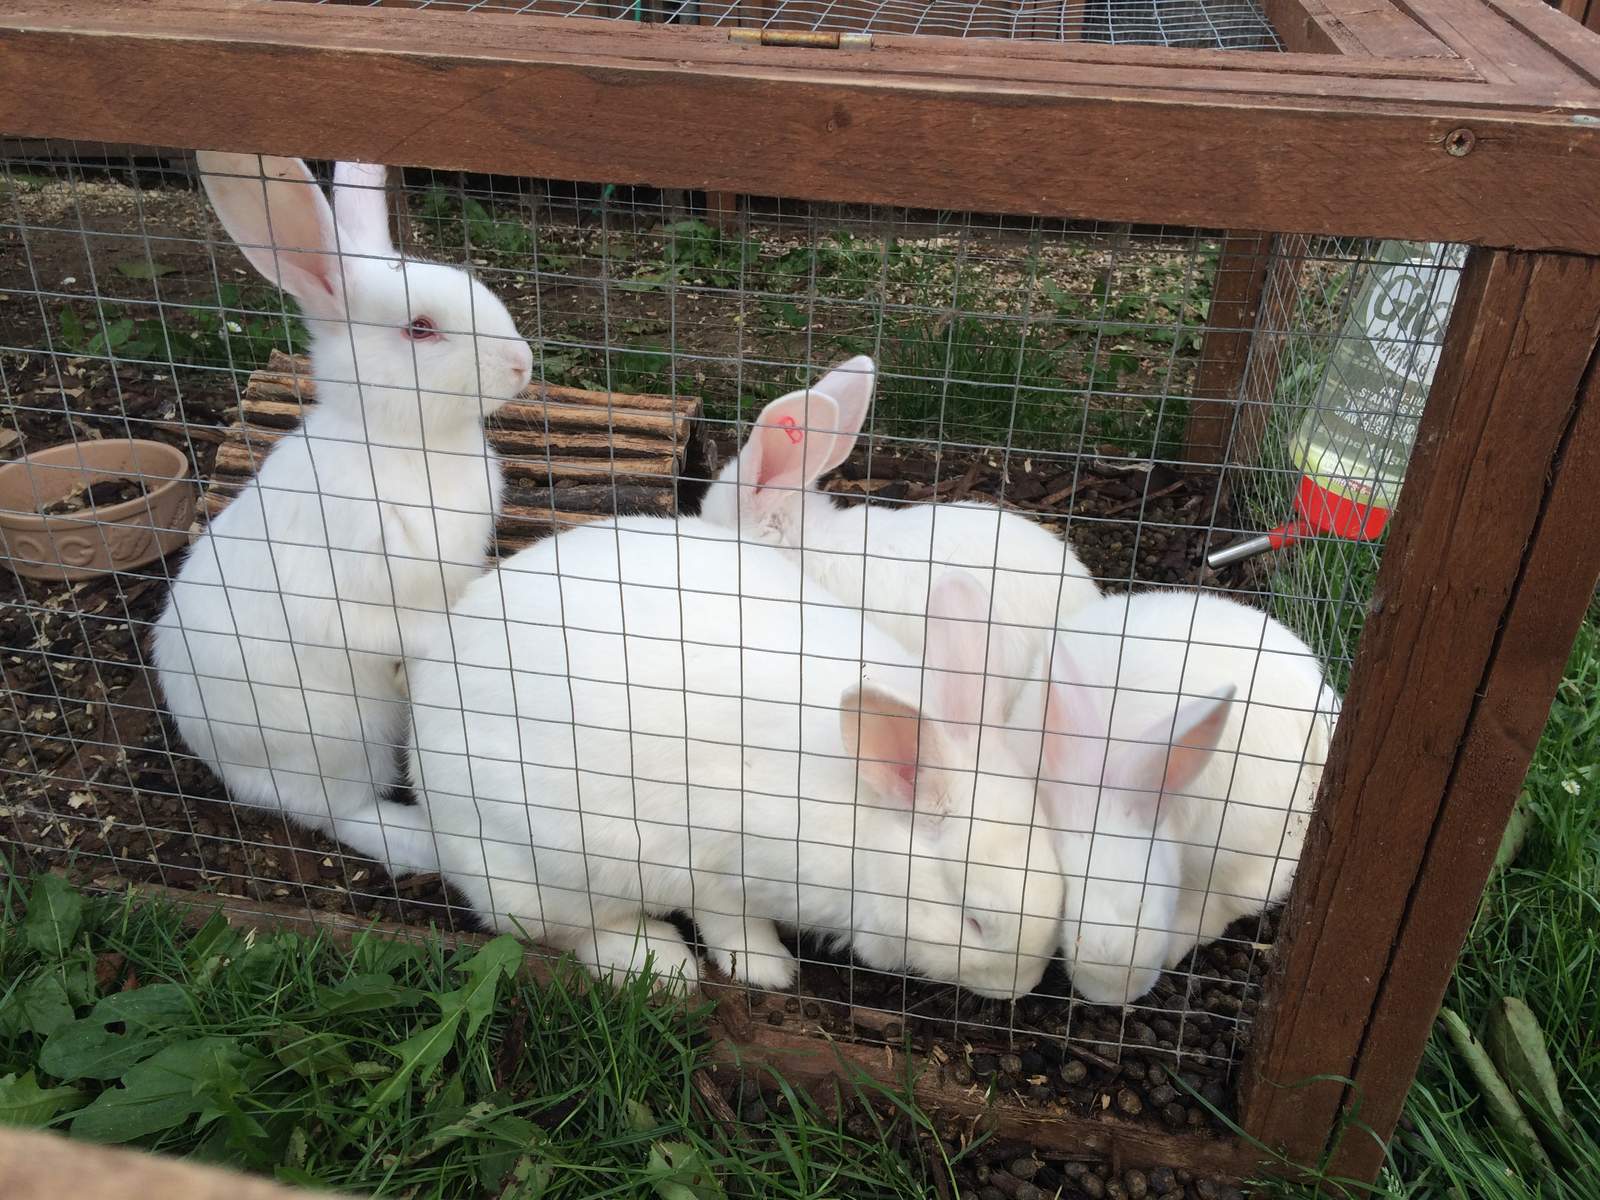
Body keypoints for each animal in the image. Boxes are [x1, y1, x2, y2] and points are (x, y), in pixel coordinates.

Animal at [151, 152, 534, 874]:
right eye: (420, 328)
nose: (522, 363)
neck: (406, 442)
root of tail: (229, 770)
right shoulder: (364, 579)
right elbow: (398, 626)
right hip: (343, 736)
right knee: (343, 813)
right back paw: (419, 843)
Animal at [403, 513, 1065, 998]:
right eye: (975, 921)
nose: (1020, 989)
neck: (864, 819)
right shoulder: (719, 861)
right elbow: (729, 920)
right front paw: (767, 969)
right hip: (548, 867)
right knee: (568, 930)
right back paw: (662, 965)